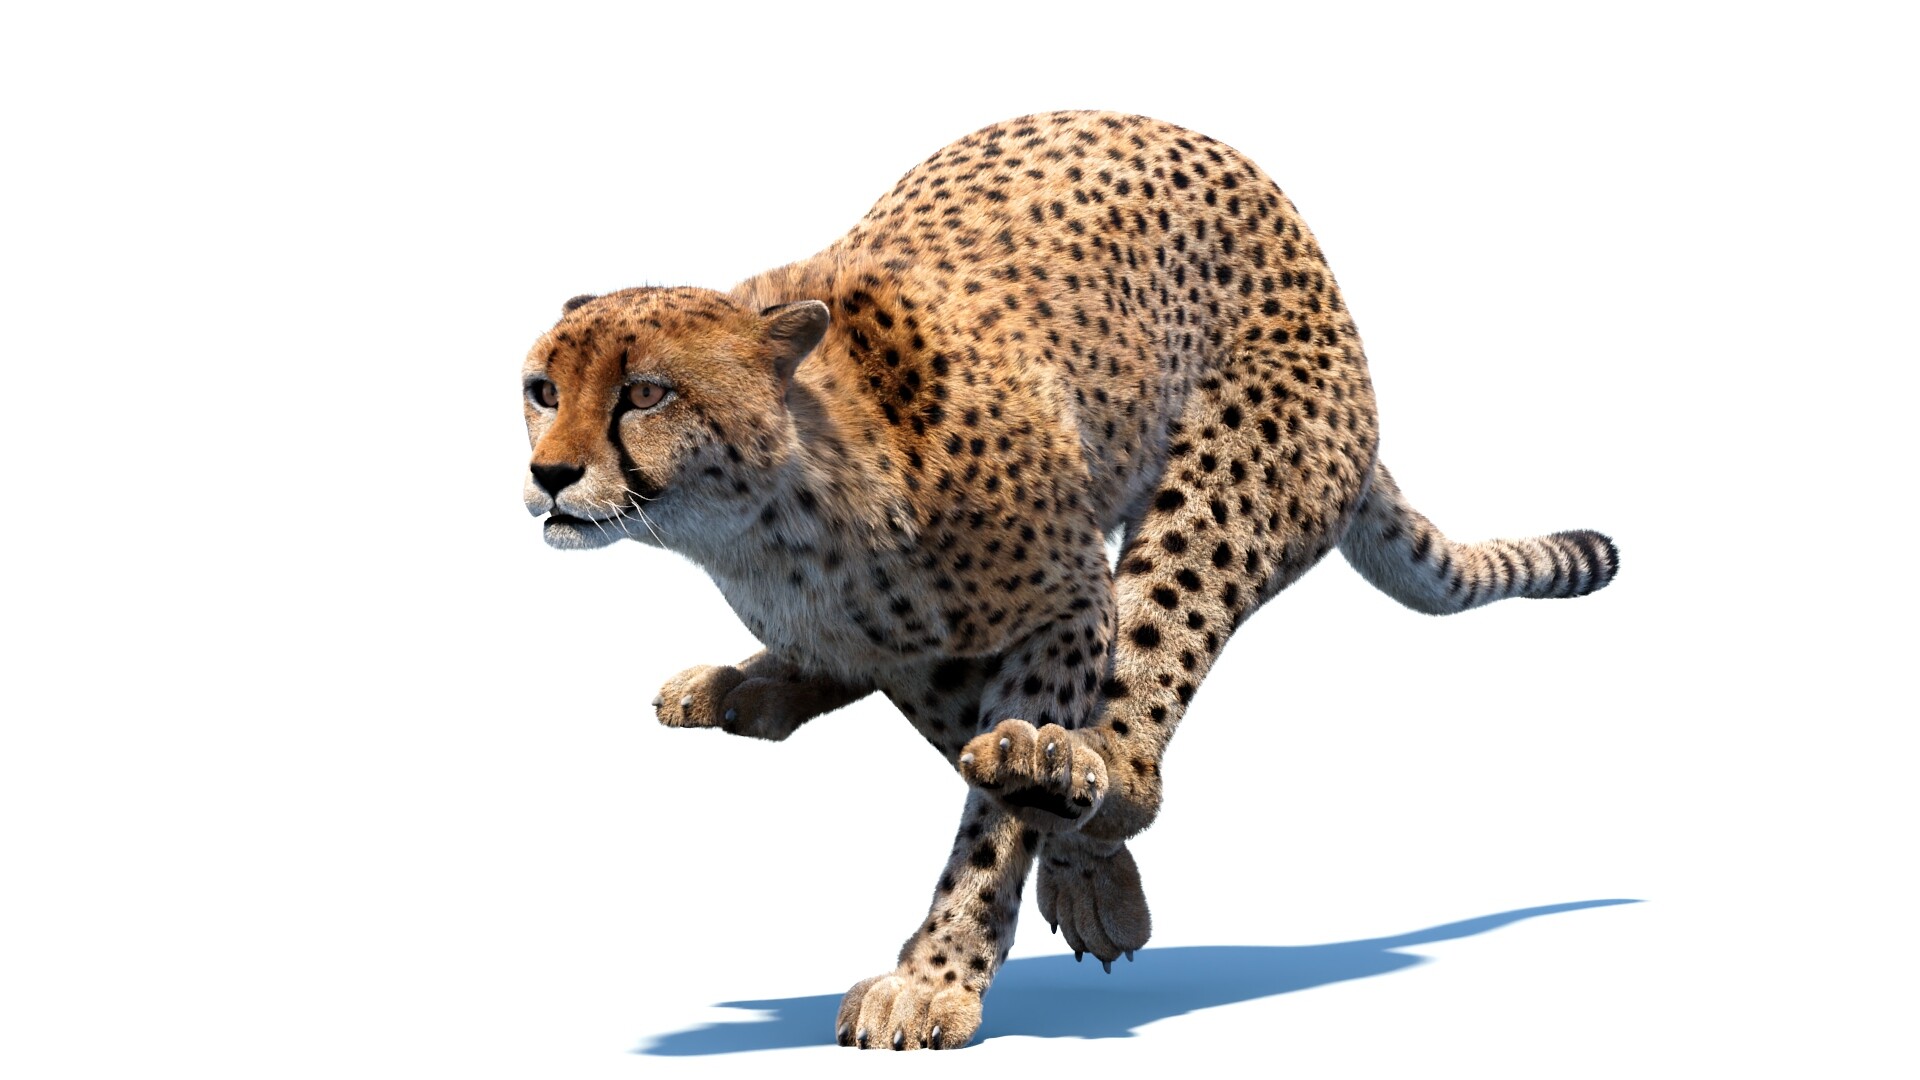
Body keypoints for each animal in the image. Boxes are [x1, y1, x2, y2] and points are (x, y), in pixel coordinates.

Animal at [518, 111, 1618, 1051]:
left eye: (645, 393)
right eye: (540, 389)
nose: (548, 474)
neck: (776, 516)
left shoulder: (1061, 602)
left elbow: (999, 812)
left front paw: (948, 968)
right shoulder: (916, 648)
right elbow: (957, 737)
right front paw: (1068, 872)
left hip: (1228, 479)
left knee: (1143, 697)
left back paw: (1083, 778)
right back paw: (745, 686)